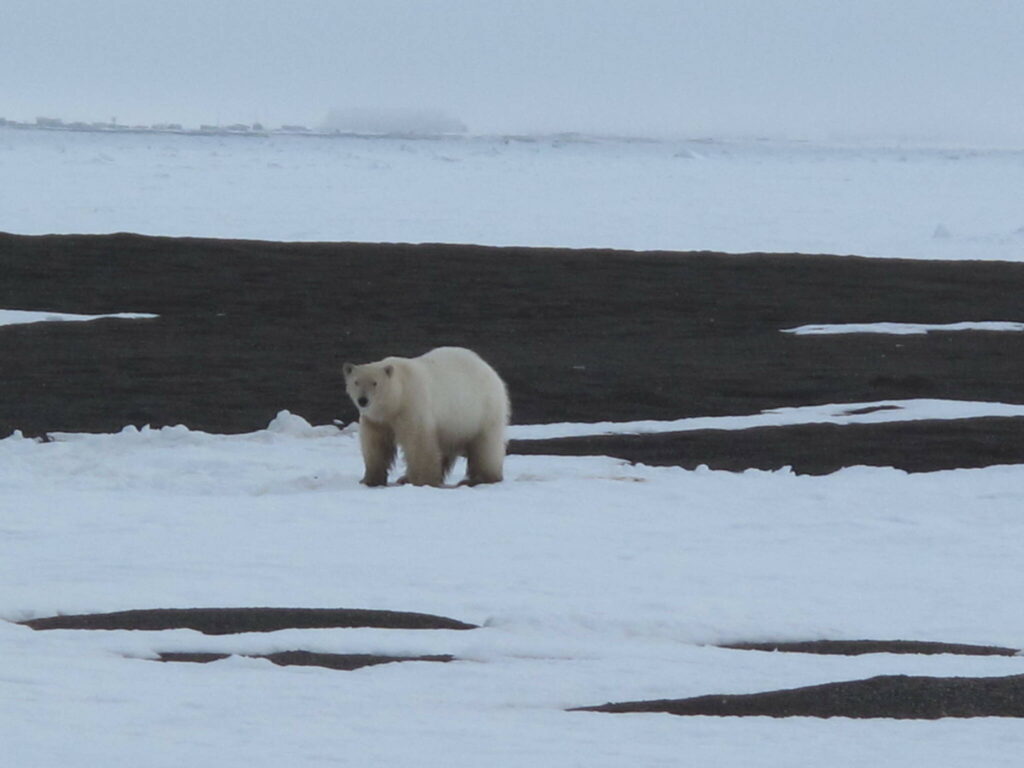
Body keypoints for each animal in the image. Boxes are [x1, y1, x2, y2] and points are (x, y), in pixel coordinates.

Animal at [342, 347, 510, 487]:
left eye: (375, 383)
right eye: (356, 382)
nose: (363, 400)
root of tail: (490, 370)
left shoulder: (412, 405)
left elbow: (418, 442)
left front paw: (422, 480)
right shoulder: (376, 420)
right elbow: (375, 445)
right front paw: (370, 479)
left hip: (482, 410)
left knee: (486, 446)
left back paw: (479, 479)